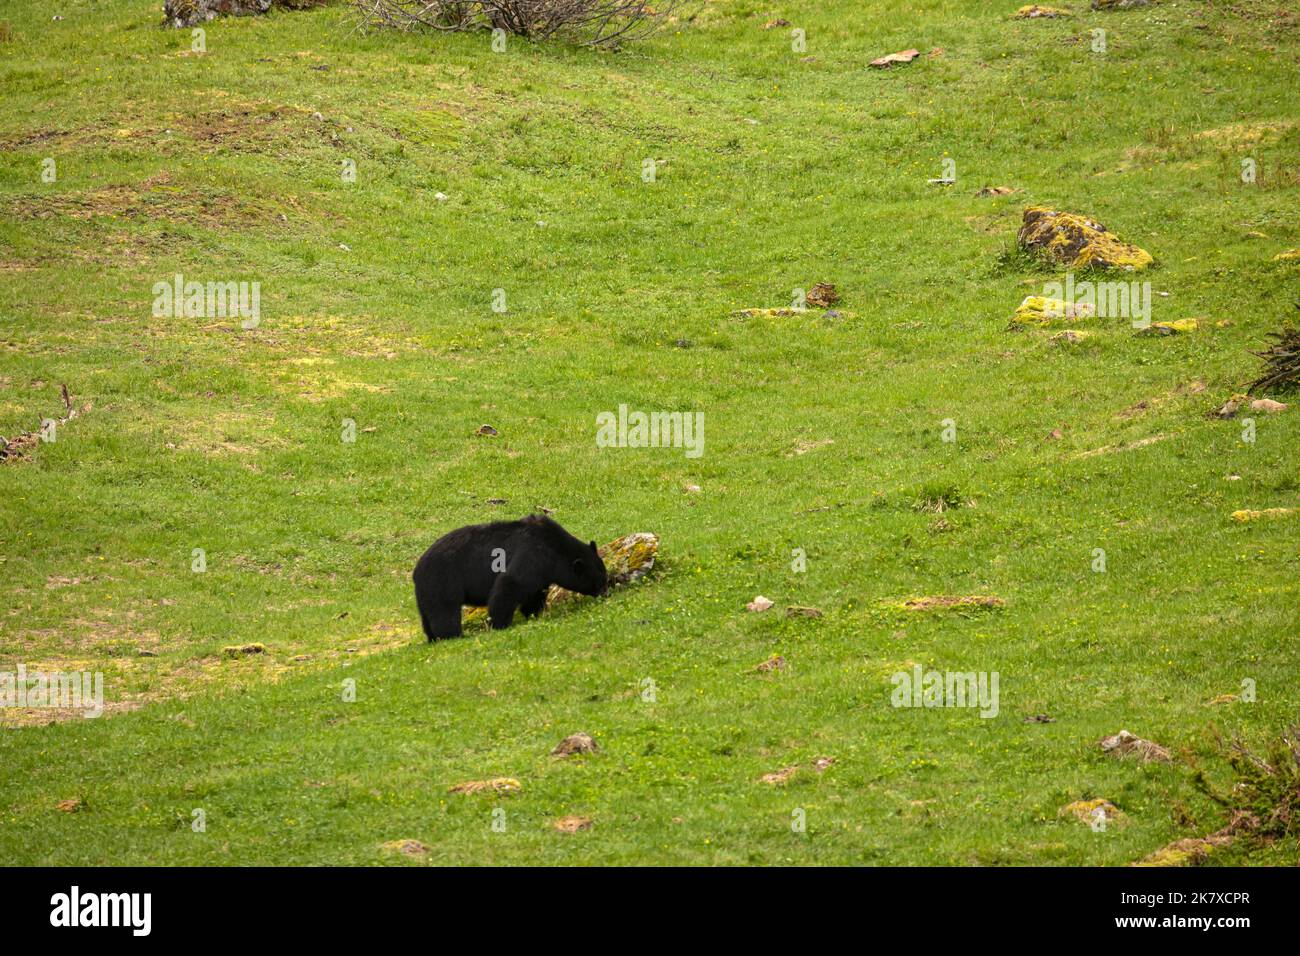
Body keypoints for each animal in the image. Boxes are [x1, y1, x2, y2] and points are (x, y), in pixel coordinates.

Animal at [412, 514, 608, 640]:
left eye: (604, 576)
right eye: (599, 581)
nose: (606, 593)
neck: (554, 550)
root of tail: (416, 571)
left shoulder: (541, 573)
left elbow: (534, 594)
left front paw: (532, 613)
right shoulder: (532, 555)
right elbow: (510, 584)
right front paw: (500, 623)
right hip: (443, 581)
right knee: (444, 612)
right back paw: (452, 635)